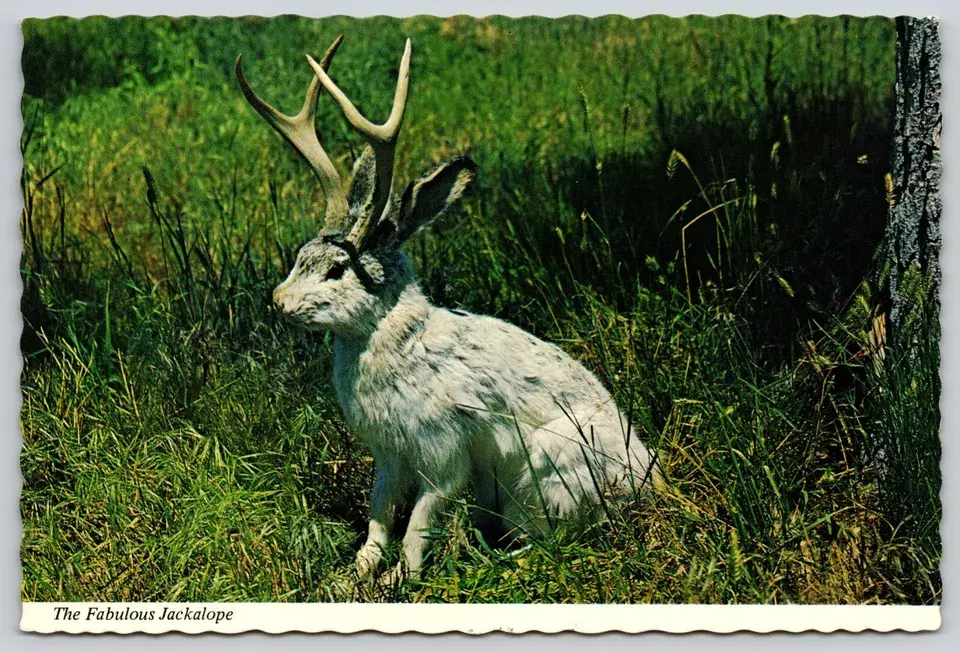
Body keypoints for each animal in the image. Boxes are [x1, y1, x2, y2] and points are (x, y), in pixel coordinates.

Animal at [236, 35, 662, 584]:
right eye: (301, 255)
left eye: (338, 269)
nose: (279, 301)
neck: (389, 333)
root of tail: (645, 480)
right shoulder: (390, 457)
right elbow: (379, 514)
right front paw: (356, 573)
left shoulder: (443, 454)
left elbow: (419, 521)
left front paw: (398, 578)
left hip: (543, 479)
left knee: (552, 542)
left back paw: (495, 560)